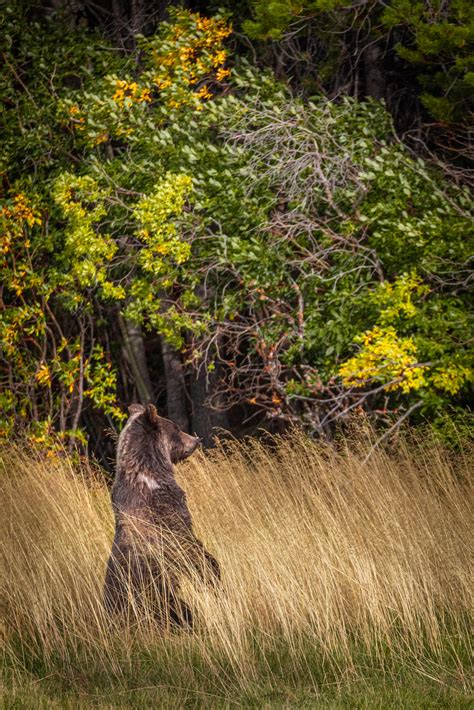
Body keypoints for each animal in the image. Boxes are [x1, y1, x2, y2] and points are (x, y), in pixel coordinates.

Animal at [104, 403, 220, 628]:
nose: (197, 440)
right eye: (176, 428)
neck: (149, 471)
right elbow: (190, 545)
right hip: (156, 592)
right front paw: (213, 571)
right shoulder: (166, 512)